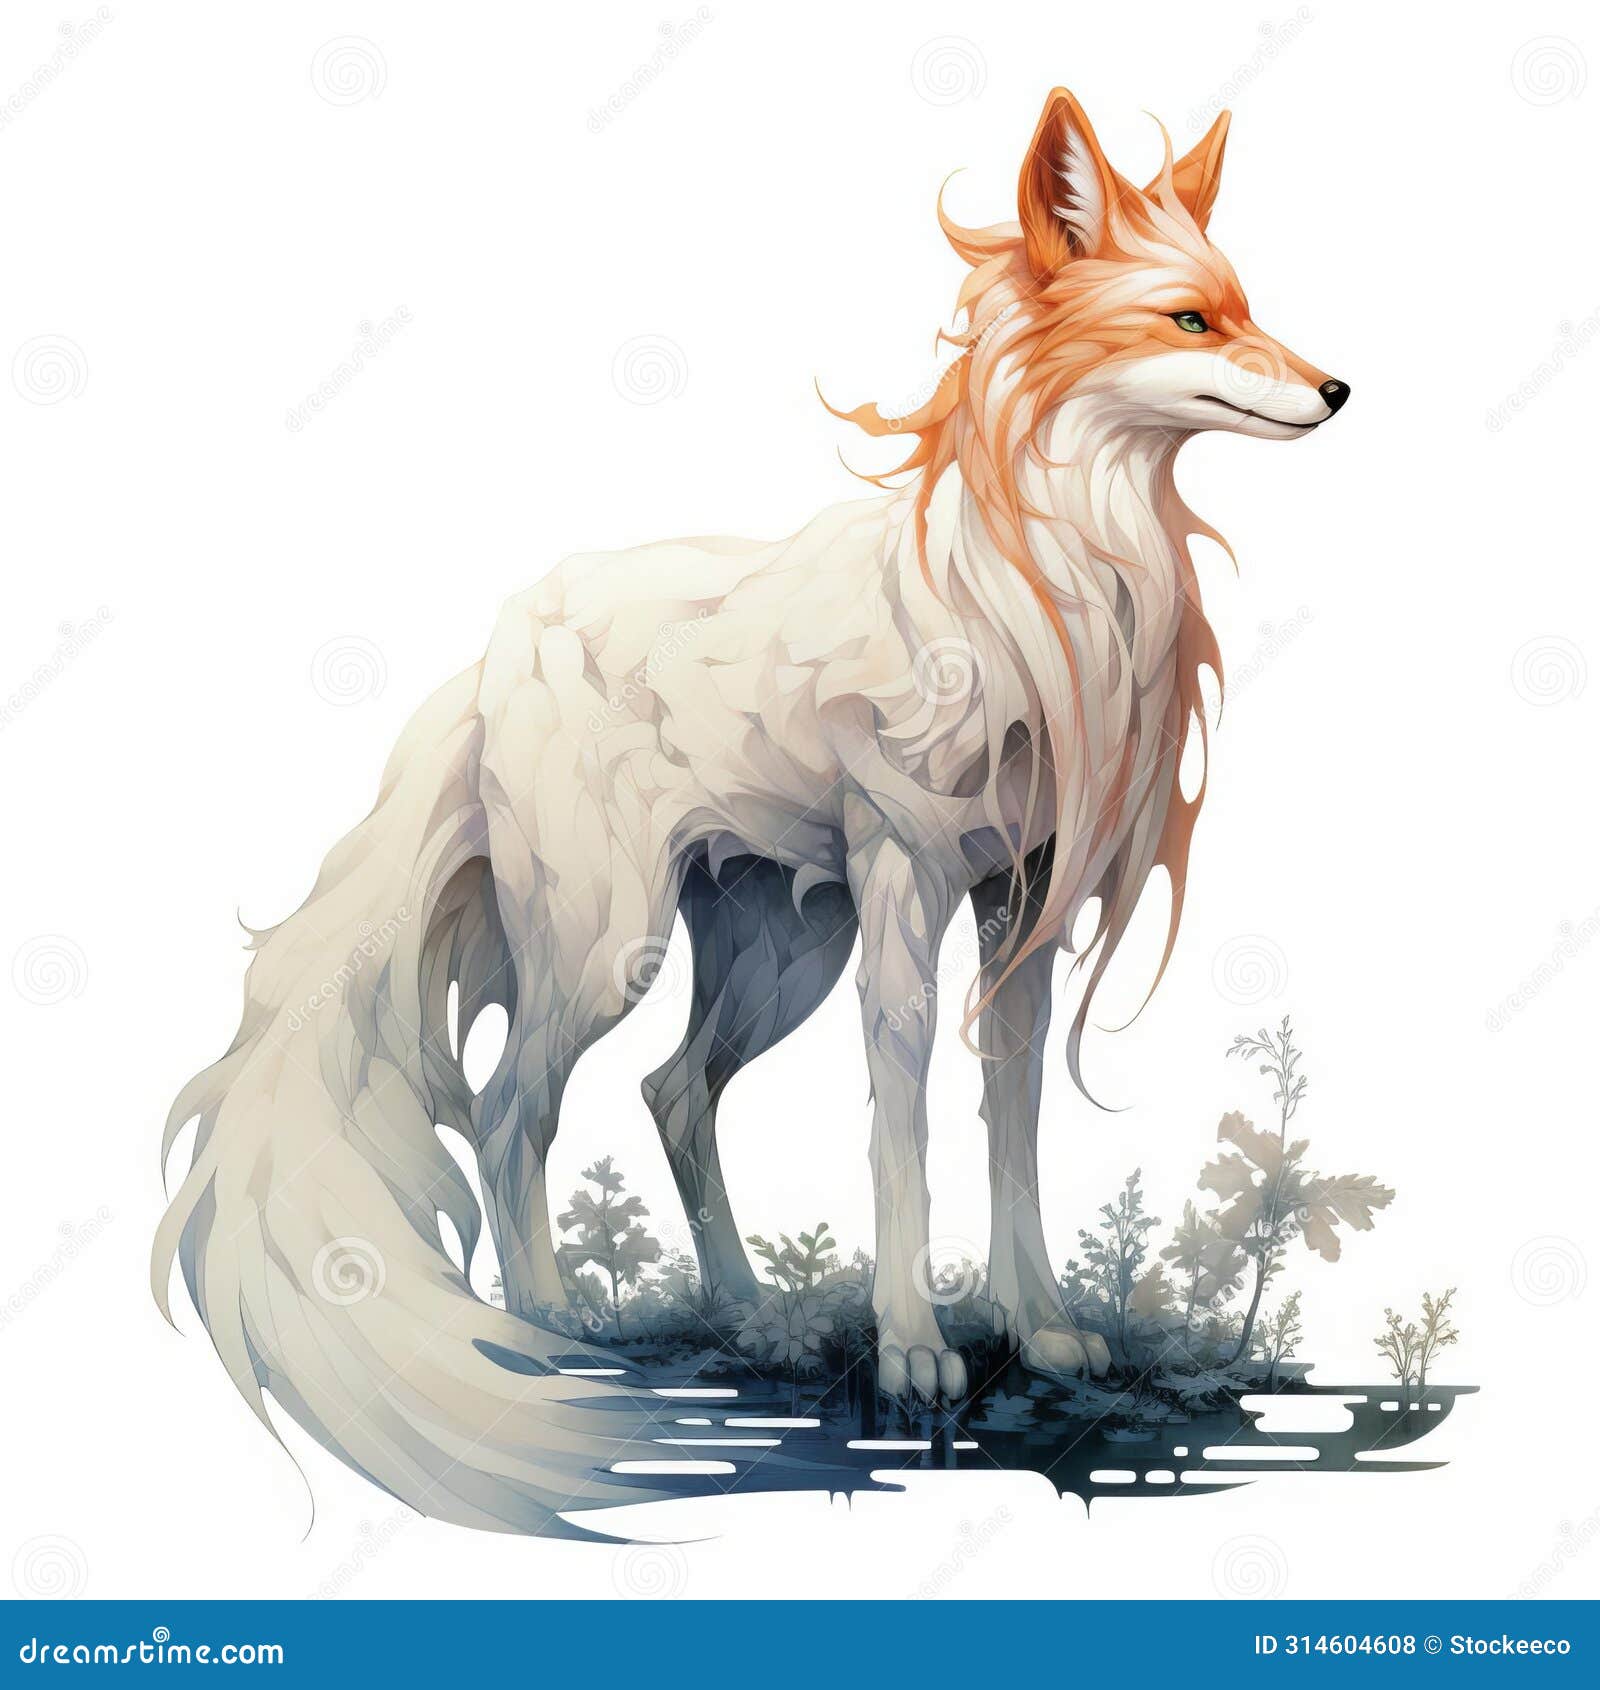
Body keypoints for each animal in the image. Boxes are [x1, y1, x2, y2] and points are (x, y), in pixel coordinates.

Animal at [155, 86, 1349, 1535]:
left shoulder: (1018, 912)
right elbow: (905, 1133)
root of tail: (493, 656)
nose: (1338, 388)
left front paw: (1042, 1328)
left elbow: (1010, 1130)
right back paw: (551, 1321)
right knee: (507, 1109)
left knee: (672, 1092)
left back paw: (751, 1312)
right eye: (1189, 320)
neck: (1054, 598)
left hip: (779, 954)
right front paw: (912, 1352)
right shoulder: (904, 888)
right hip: (614, 951)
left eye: (1246, 307)